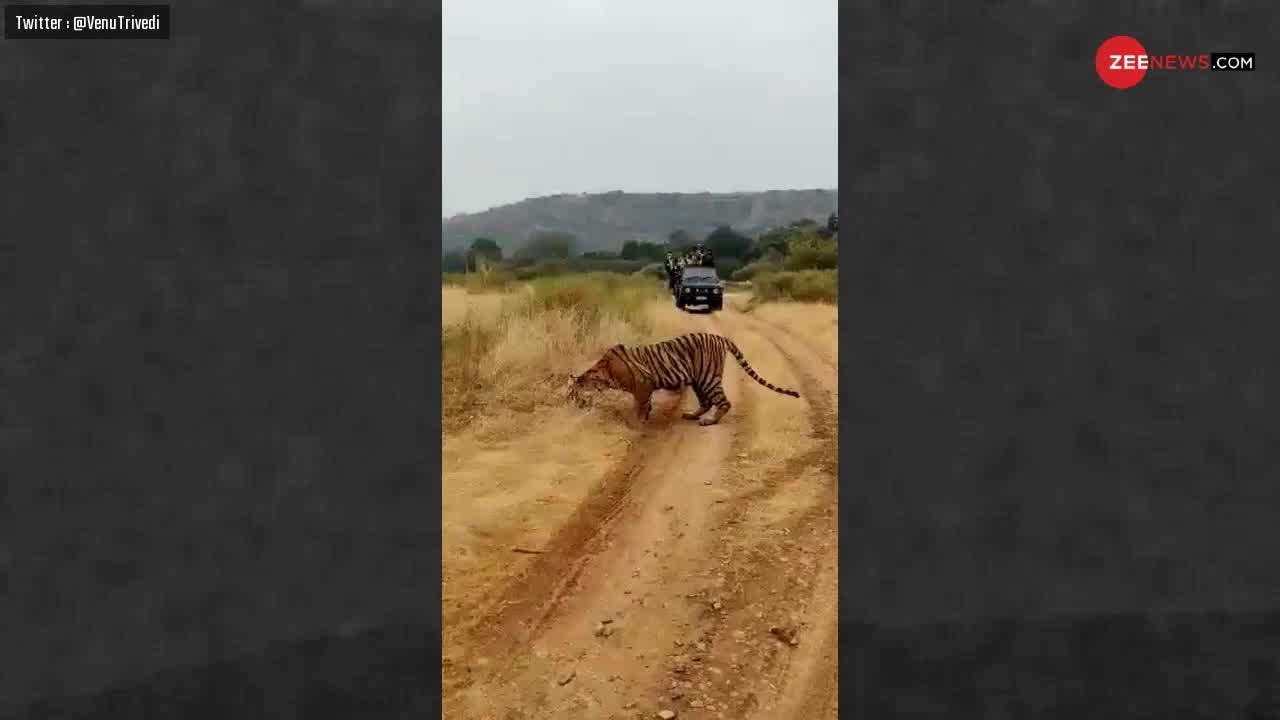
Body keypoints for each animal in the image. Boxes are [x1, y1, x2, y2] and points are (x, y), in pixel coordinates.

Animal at [569, 332, 799, 425]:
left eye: (570, 393)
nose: (568, 403)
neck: (602, 375)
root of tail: (720, 337)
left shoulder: (643, 383)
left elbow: (639, 405)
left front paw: (636, 422)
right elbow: (645, 404)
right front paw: (643, 418)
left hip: (708, 377)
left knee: (723, 402)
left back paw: (709, 421)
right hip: (698, 380)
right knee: (706, 402)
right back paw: (692, 415)